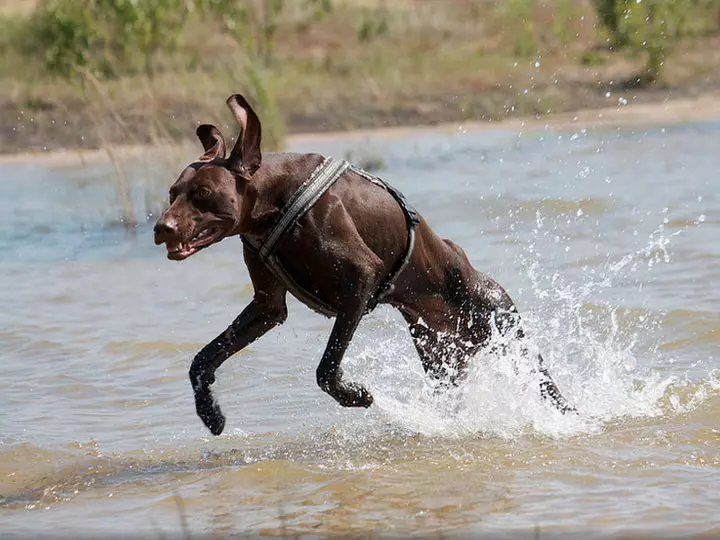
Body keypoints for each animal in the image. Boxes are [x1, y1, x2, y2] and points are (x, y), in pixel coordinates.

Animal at [153, 95, 572, 436]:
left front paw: (356, 395)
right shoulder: (267, 307)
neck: (274, 202)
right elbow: (201, 360)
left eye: (203, 193)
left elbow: (326, 369)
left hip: (506, 330)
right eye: (172, 193)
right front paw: (210, 414)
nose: (161, 228)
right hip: (441, 358)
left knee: (546, 385)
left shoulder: (360, 279)